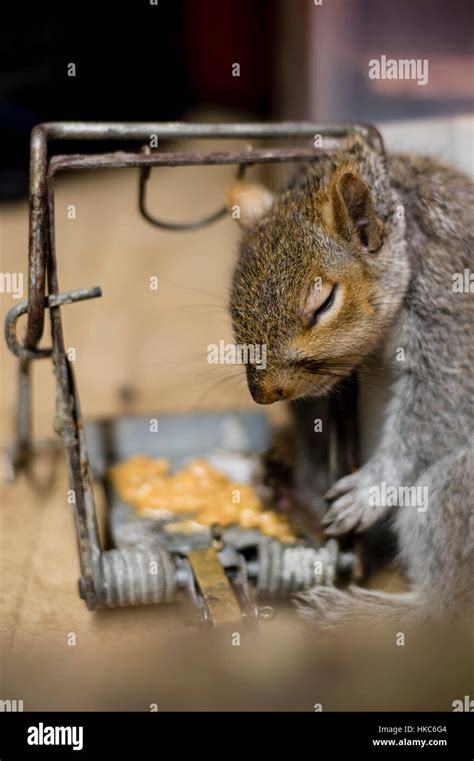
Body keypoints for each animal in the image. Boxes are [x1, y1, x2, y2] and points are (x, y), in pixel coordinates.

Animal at [228, 132, 473, 627]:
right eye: (232, 306)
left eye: (323, 303)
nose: (264, 394)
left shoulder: (452, 306)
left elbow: (441, 405)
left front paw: (369, 489)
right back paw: (294, 501)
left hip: (455, 493)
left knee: (445, 613)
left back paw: (353, 614)